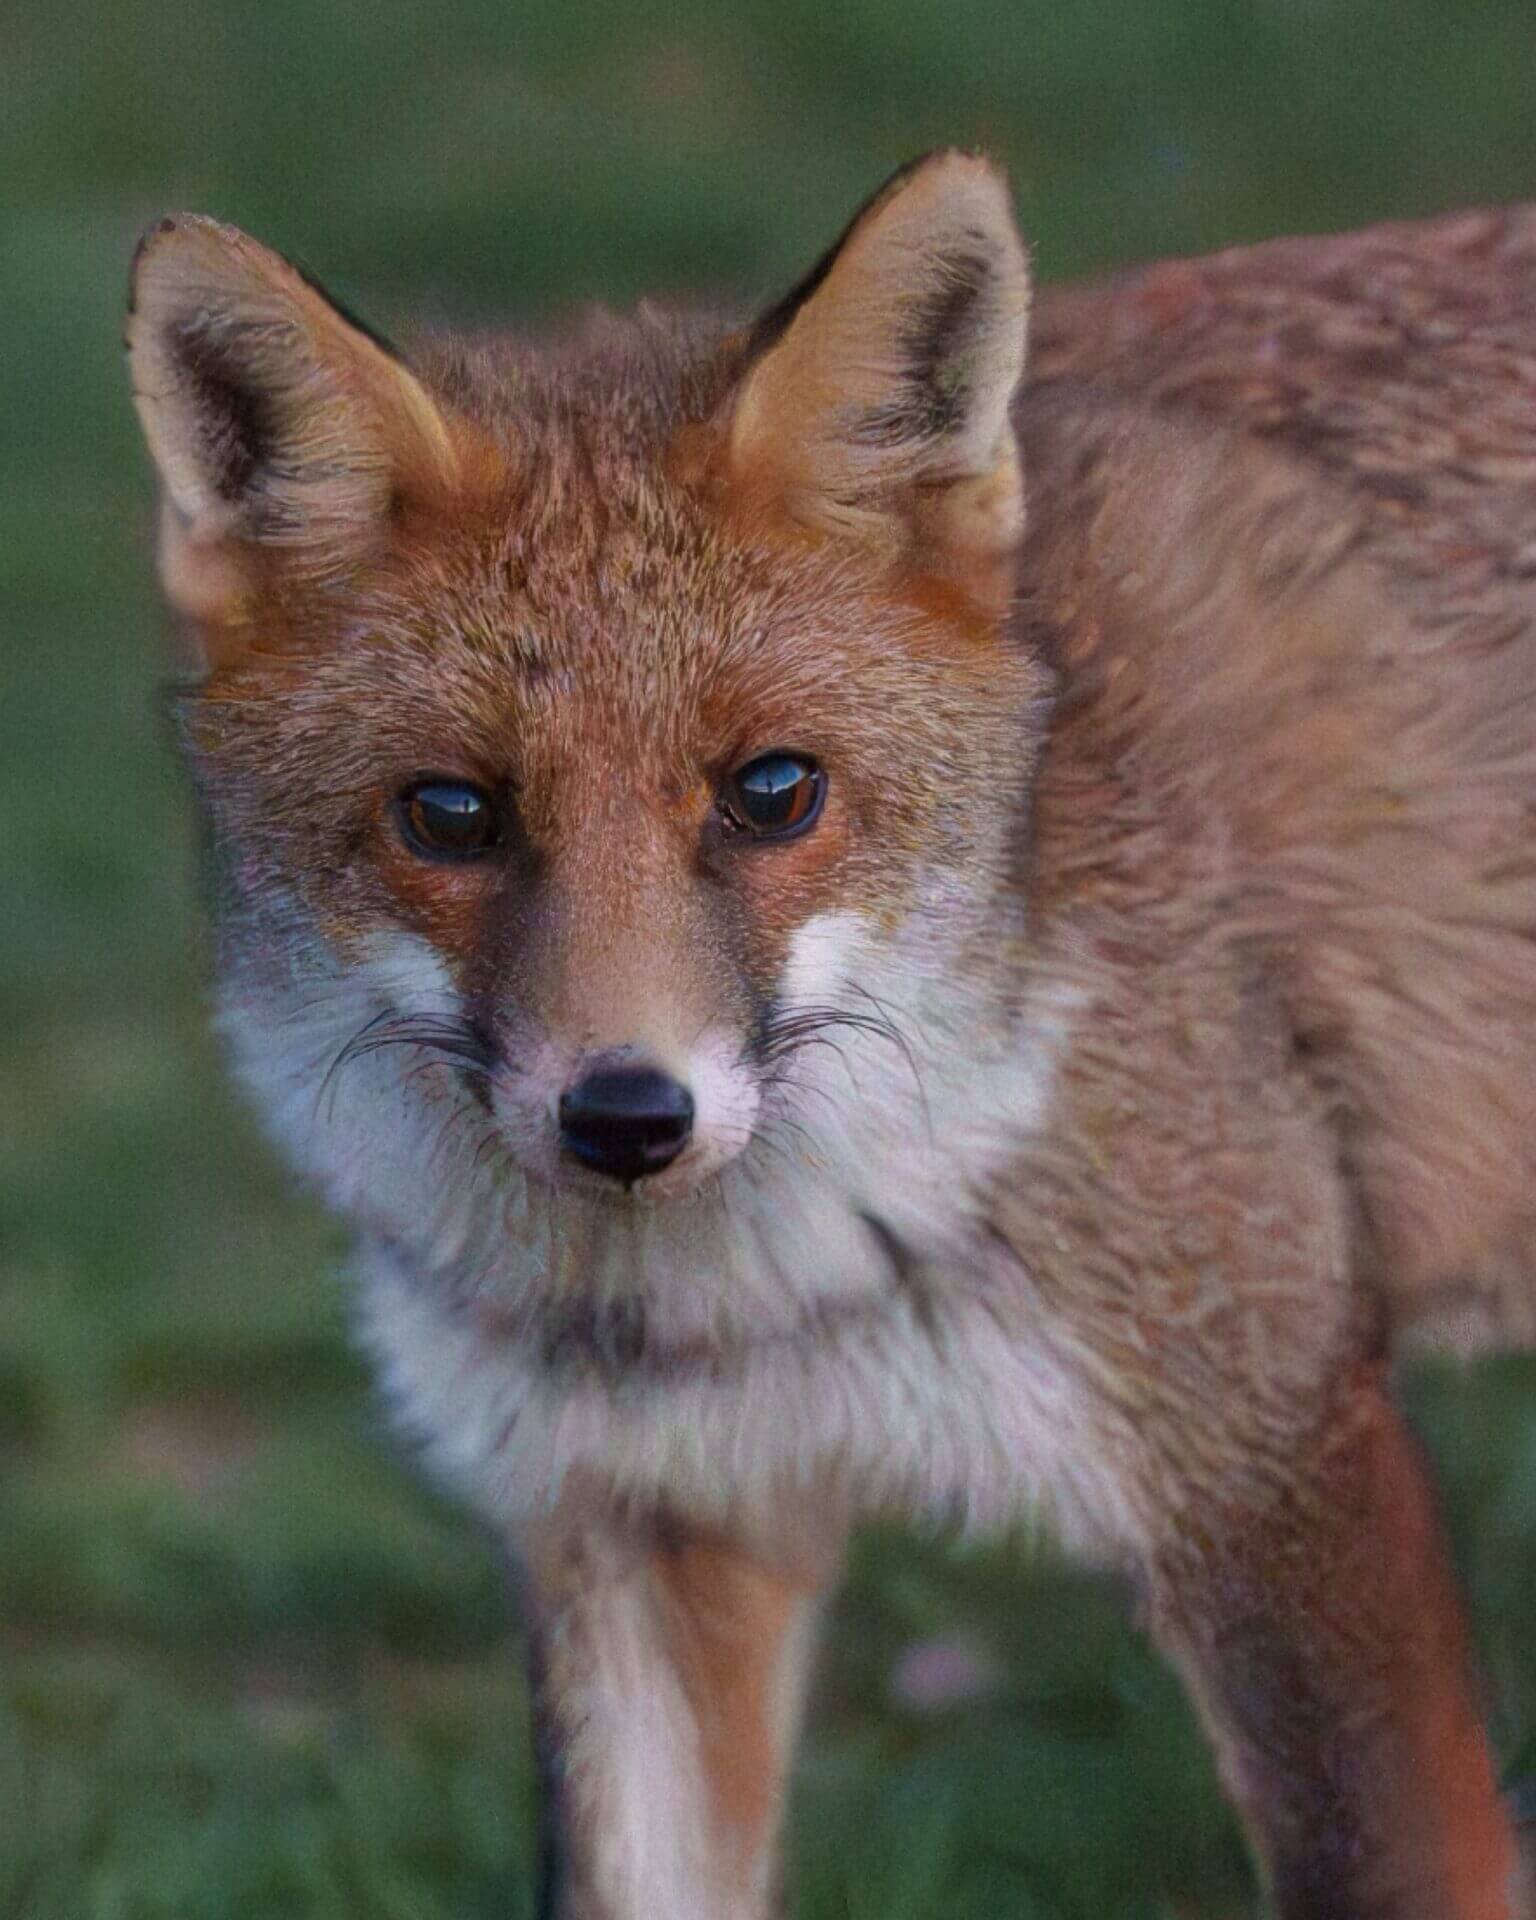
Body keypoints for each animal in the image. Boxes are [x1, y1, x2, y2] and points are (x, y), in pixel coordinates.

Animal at [124, 152, 1536, 1918]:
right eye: (449, 814)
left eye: (773, 791)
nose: (628, 1115)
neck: (732, 1308)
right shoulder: (646, 1522)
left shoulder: (1275, 1460)